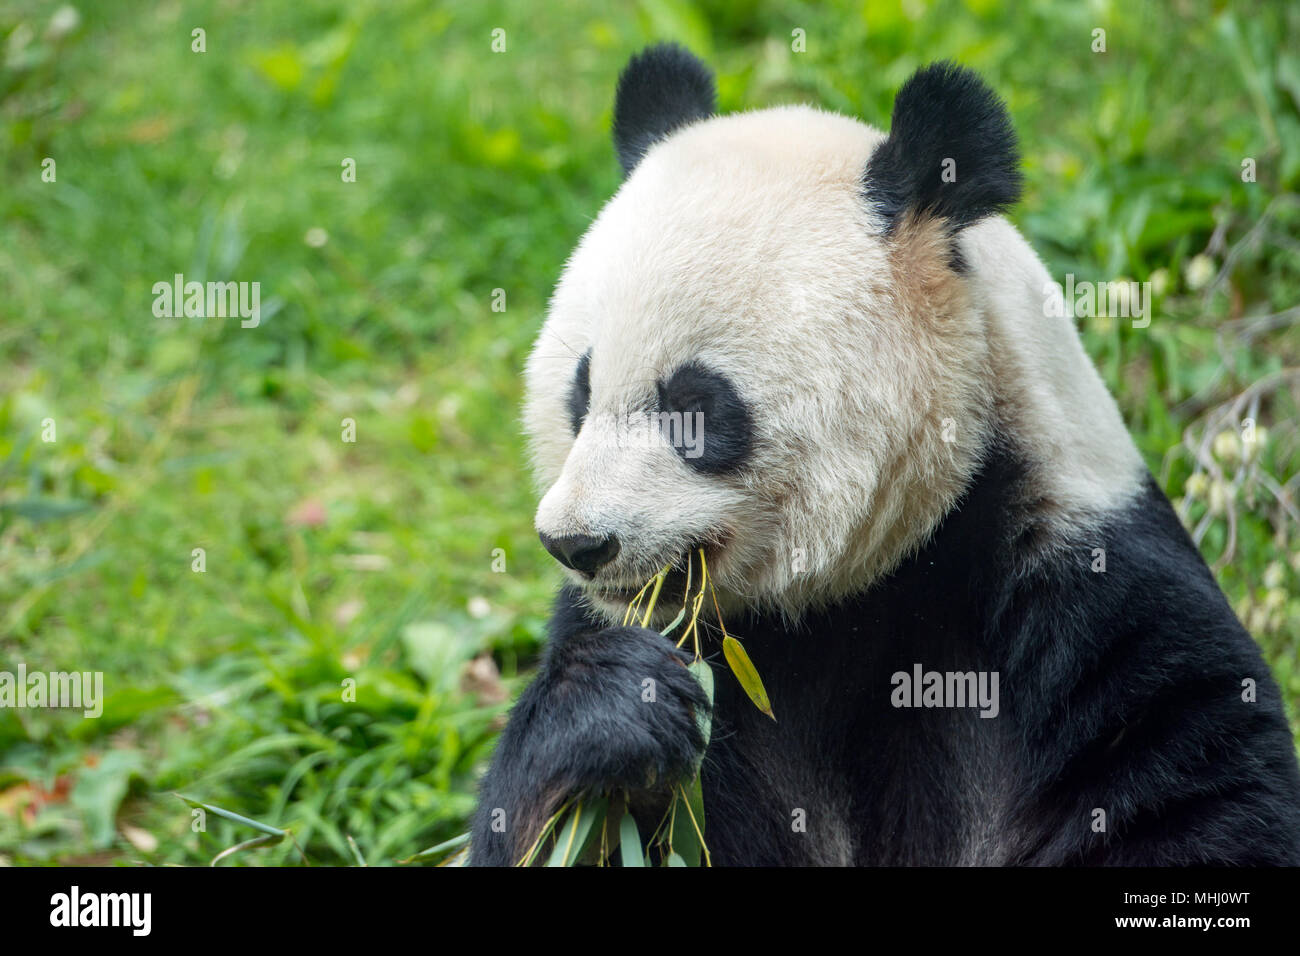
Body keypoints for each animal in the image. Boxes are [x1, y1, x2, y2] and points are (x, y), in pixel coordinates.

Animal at [469, 44, 1300, 866]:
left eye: (695, 408)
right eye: (580, 393)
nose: (578, 543)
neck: (860, 594)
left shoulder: (1089, 583)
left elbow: (1195, 793)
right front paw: (613, 710)